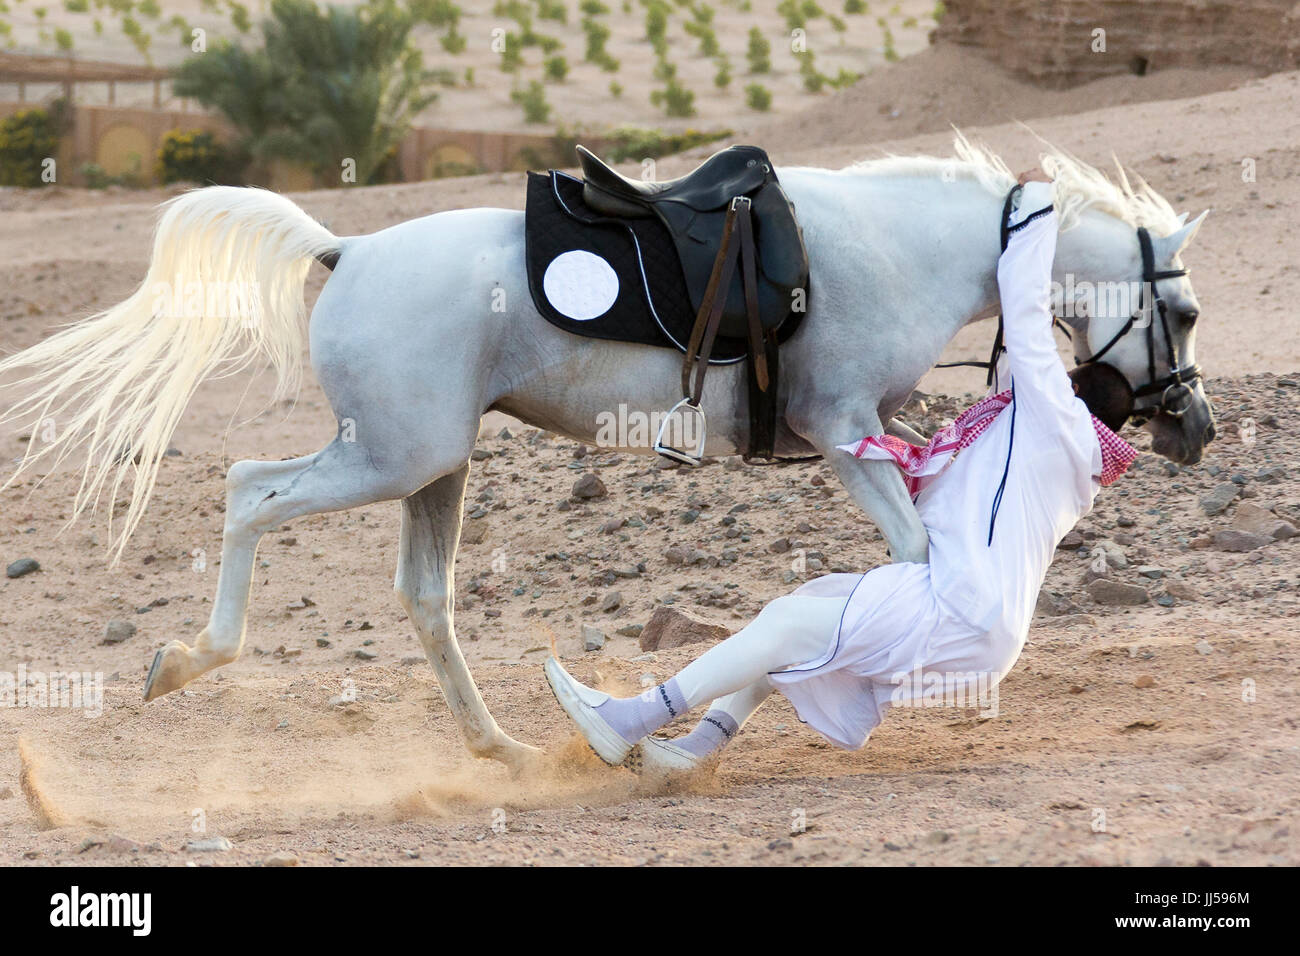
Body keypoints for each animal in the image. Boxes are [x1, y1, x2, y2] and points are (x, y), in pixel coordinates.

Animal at [0, 135, 1215, 774]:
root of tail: (344, 251)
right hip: (386, 459)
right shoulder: (839, 431)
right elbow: (914, 558)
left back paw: (501, 744)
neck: (892, 248)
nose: (1192, 429)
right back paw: (188, 660)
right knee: (250, 492)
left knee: (424, 595)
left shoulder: (865, 437)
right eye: (1188, 313)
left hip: (431, 468)